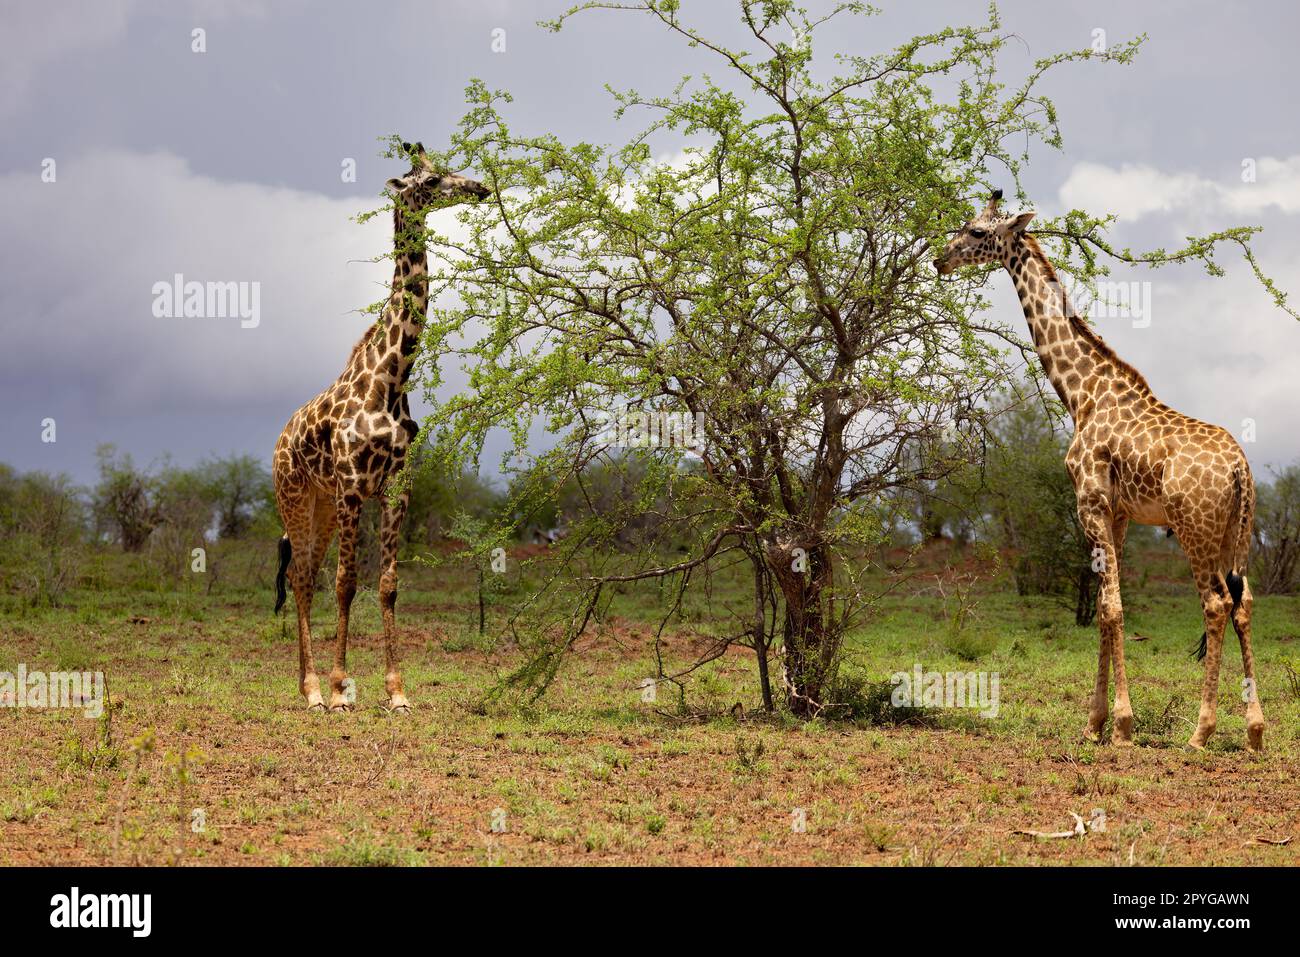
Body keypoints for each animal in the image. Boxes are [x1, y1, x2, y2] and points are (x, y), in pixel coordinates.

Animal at [272, 142, 489, 712]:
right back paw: (312, 690)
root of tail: (279, 441)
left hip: (322, 506)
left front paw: (396, 691)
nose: (478, 187)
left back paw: (307, 684)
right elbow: (347, 582)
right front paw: (340, 688)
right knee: (303, 577)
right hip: (296, 496)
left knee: (305, 575)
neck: (391, 377)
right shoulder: (352, 485)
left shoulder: (395, 486)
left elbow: (388, 583)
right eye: (431, 181)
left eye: (449, 169)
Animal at [933, 190, 1264, 751]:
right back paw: (1255, 731)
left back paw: (1201, 732)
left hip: (1194, 529)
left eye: (976, 231)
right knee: (1242, 604)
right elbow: (1108, 610)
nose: (941, 258)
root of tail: (1241, 467)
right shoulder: (1120, 513)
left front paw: (1122, 726)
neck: (1080, 394)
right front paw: (1094, 723)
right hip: (1233, 534)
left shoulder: (1089, 499)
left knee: (1216, 605)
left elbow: (1109, 608)